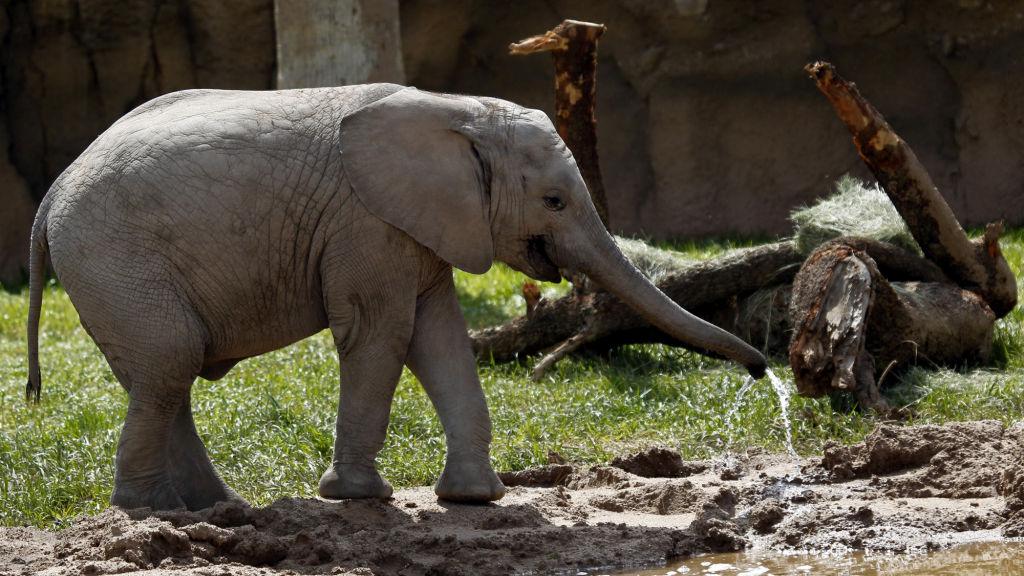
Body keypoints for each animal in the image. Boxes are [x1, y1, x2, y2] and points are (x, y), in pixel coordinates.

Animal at [25, 84, 766, 511]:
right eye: (554, 201)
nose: (762, 372)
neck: (457, 115)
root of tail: (50, 198)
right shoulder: (366, 222)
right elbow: (381, 333)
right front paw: (359, 498)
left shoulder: (420, 225)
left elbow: (438, 338)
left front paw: (475, 499)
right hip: (115, 260)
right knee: (169, 365)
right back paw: (151, 512)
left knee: (162, 377)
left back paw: (212, 508)